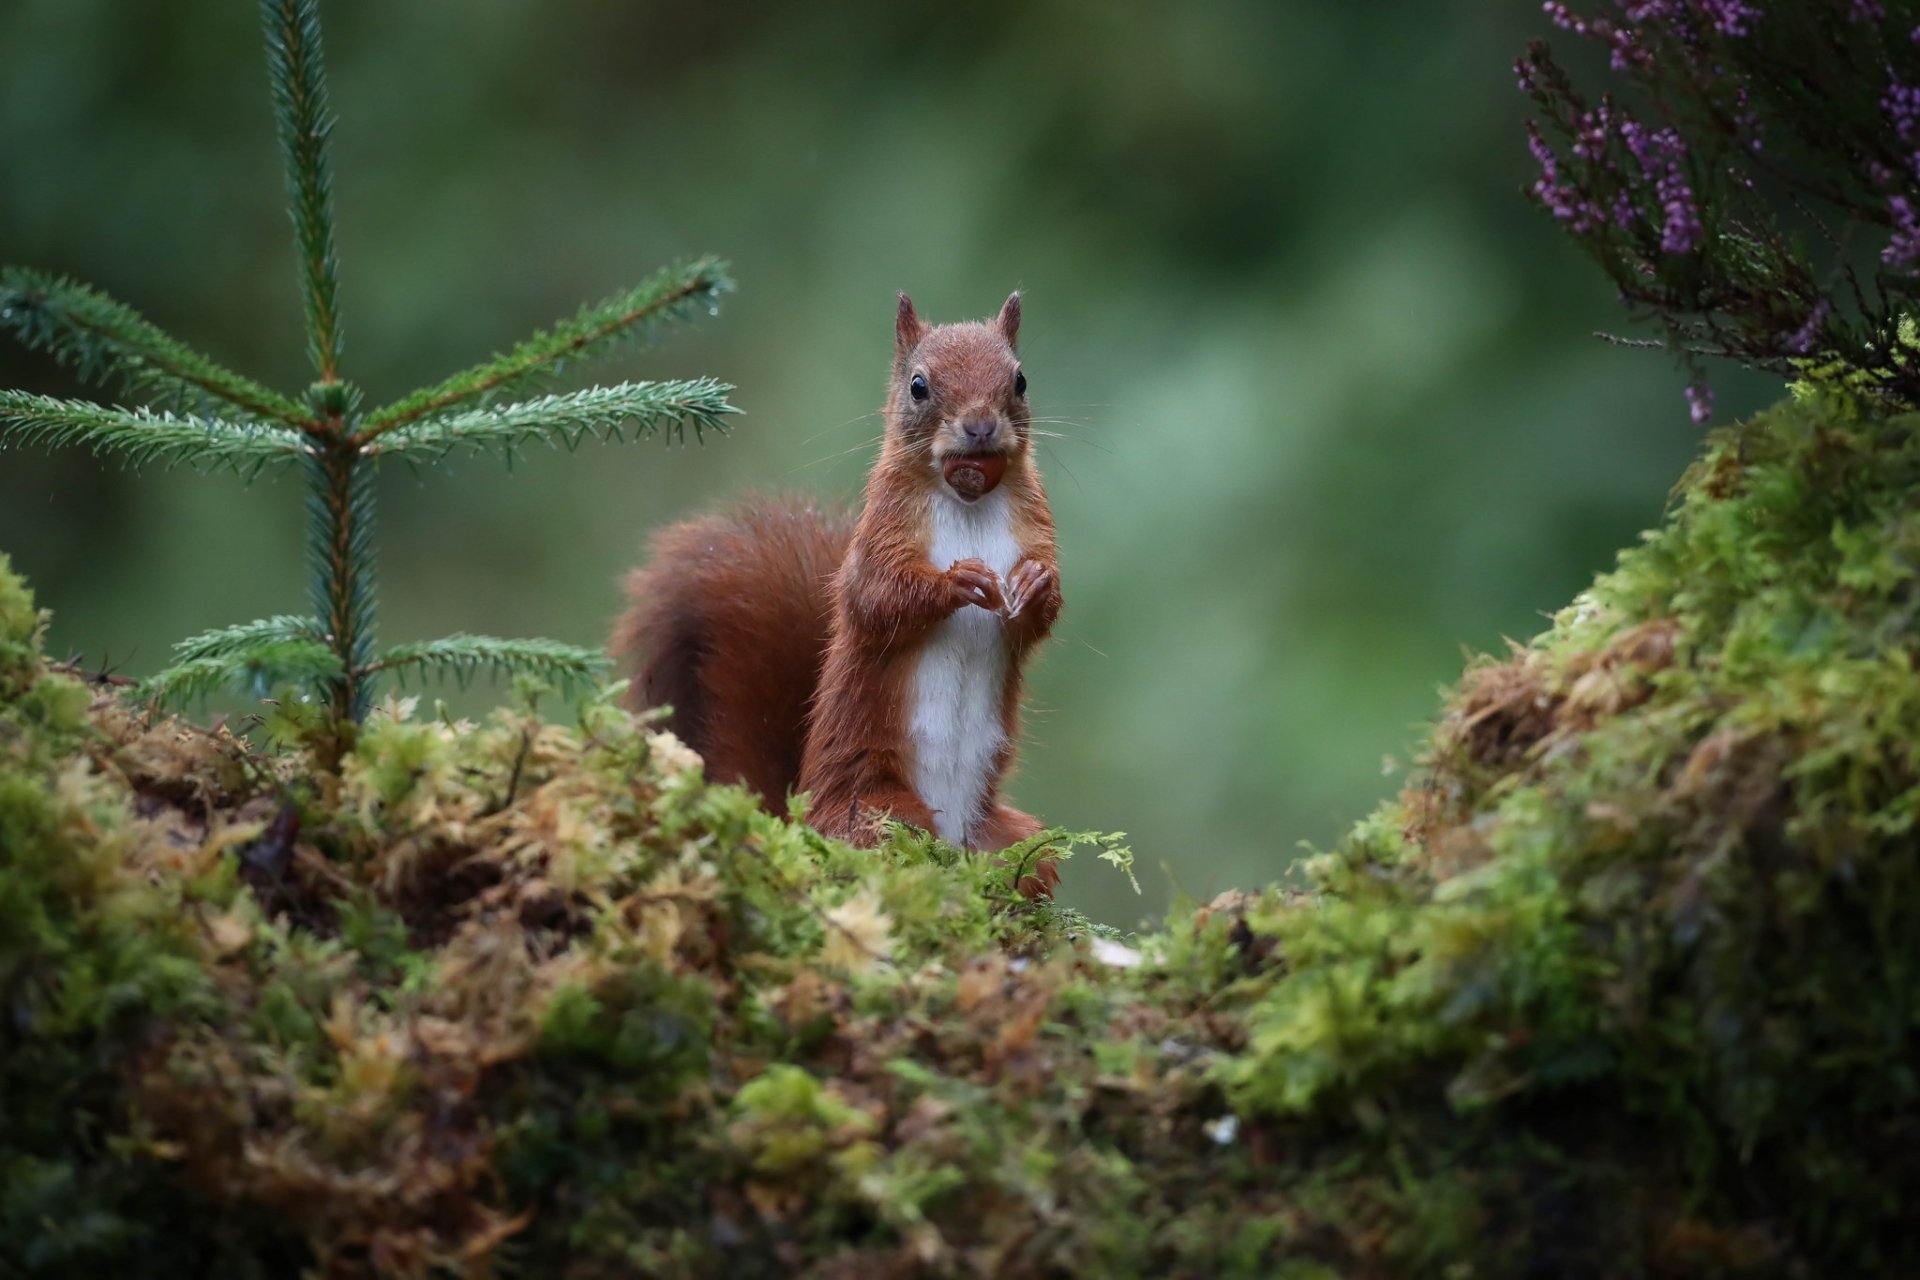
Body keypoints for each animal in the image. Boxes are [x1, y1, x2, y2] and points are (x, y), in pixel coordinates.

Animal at [612, 292, 1063, 895]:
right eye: (918, 386)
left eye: (1020, 381)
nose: (979, 427)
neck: (968, 500)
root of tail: (802, 815)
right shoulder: (881, 532)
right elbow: (876, 598)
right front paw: (957, 581)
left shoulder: (1035, 524)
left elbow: (1041, 616)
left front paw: (1036, 586)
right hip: (879, 812)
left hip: (1014, 842)